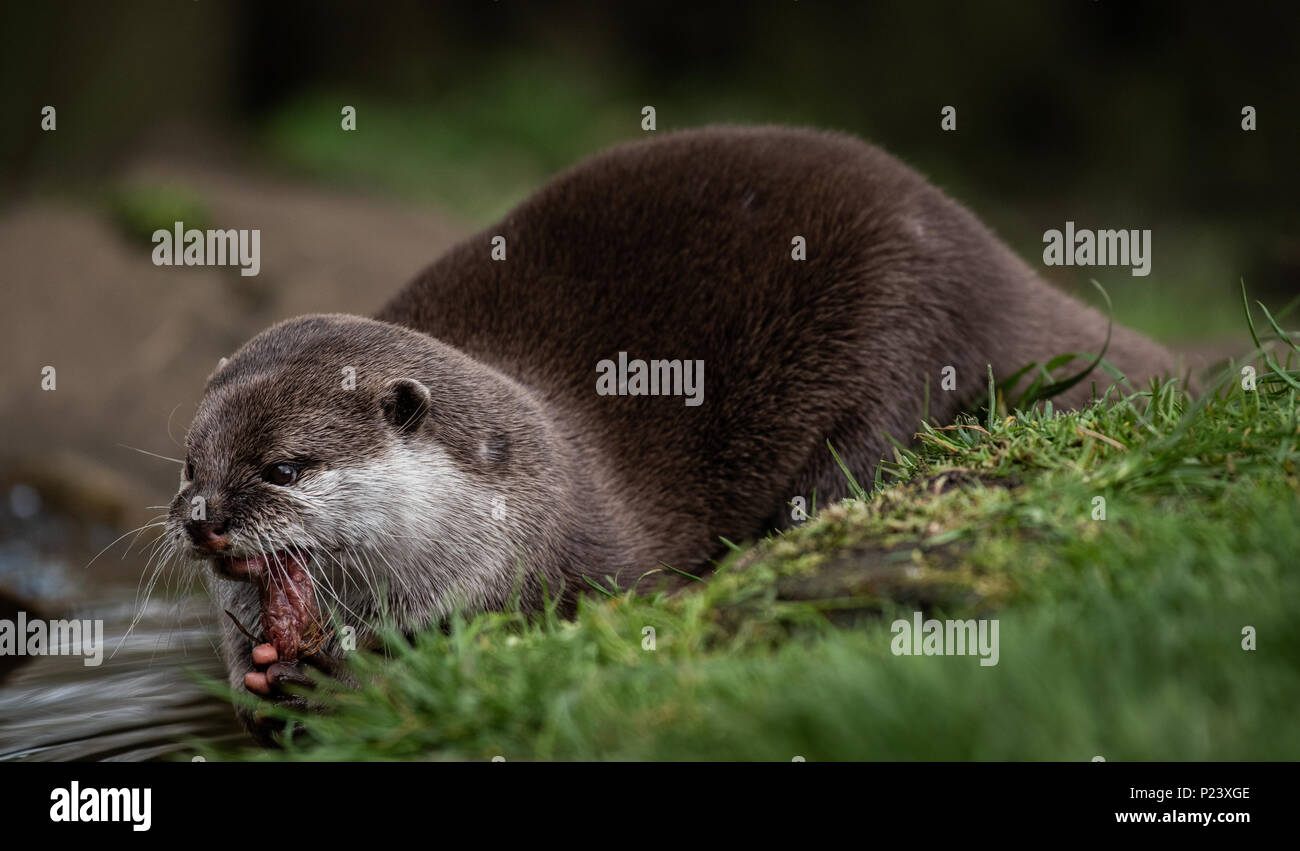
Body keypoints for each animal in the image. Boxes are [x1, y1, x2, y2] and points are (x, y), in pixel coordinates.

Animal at [165, 126, 1178, 738]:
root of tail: (995, 260)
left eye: (284, 467)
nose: (202, 519)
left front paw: (355, 686)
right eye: (191, 462)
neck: (525, 496)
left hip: (903, 326)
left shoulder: (573, 563)